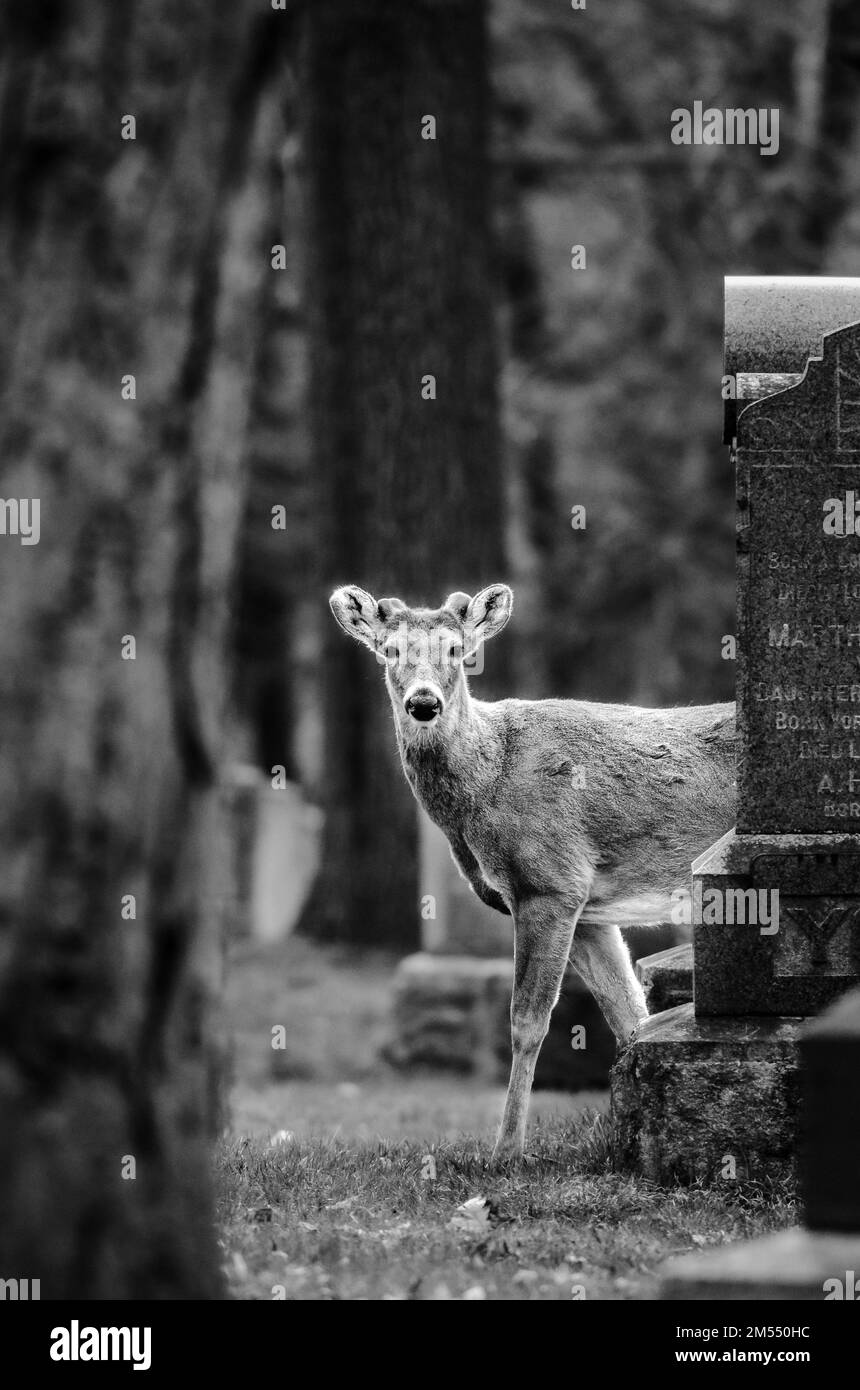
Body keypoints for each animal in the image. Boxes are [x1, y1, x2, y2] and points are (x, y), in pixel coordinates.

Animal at [330, 582, 736, 1161]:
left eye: (457, 650)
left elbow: (527, 1022)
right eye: (389, 651)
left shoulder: (550, 881)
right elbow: (630, 1018)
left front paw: (506, 1151)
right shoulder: (587, 907)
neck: (488, 777)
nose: (424, 703)